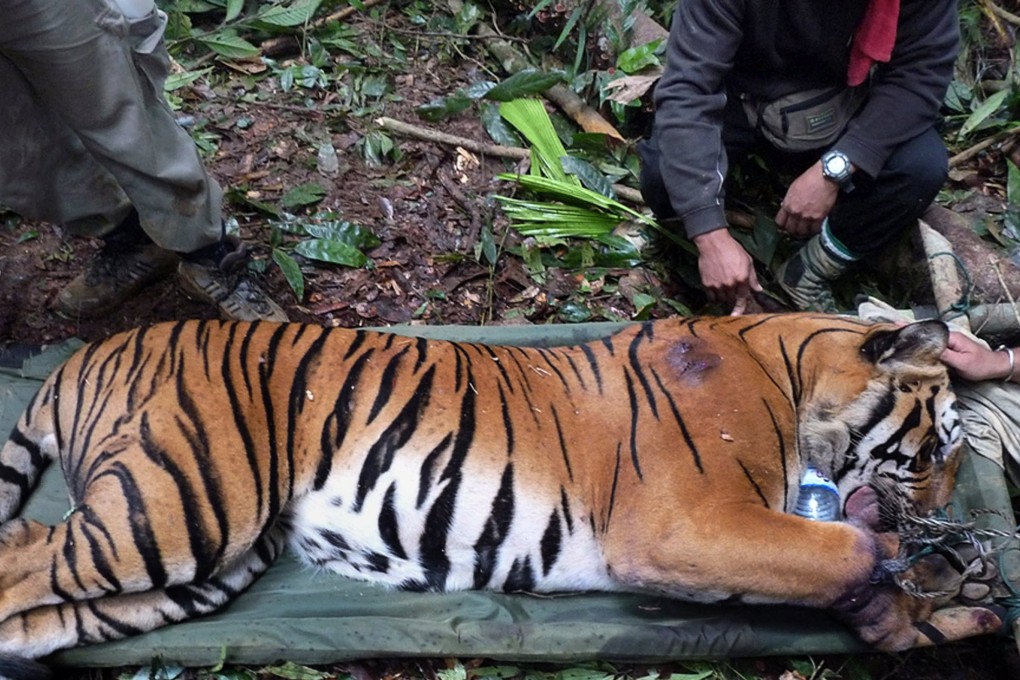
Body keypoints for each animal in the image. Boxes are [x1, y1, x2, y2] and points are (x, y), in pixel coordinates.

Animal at [0, 313, 1004, 677]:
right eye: (939, 451)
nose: (944, 513)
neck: (789, 372)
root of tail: (81, 355)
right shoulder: (688, 524)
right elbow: (843, 552)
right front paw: (907, 576)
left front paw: (941, 608)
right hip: (178, 507)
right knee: (21, 559)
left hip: (202, 565)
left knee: (44, 602)